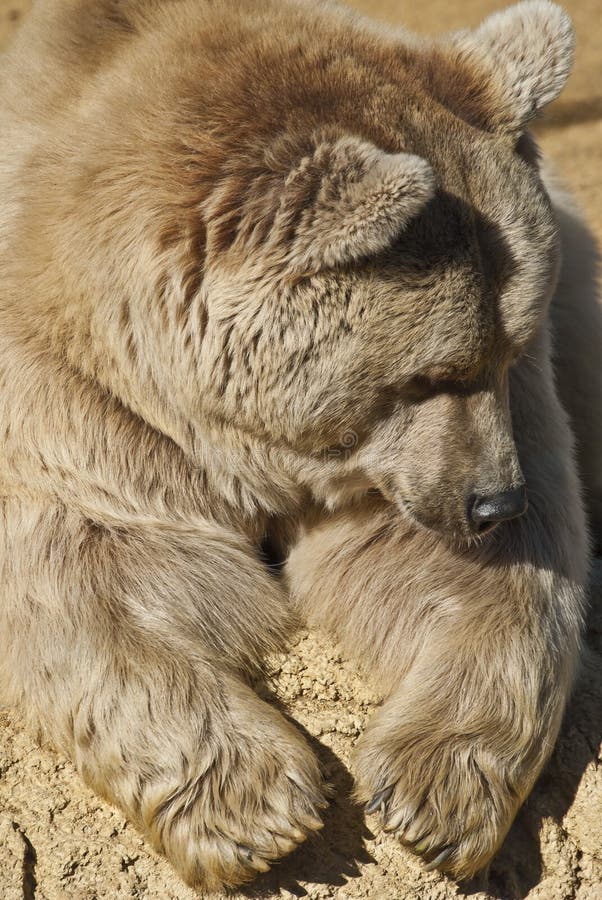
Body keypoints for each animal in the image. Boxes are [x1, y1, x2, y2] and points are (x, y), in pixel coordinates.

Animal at [0, 0, 600, 890]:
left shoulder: (458, 441)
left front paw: (431, 791)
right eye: (432, 371)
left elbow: (486, 572)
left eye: (509, 346)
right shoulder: (81, 399)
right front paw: (260, 808)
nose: (495, 500)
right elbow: (95, 569)